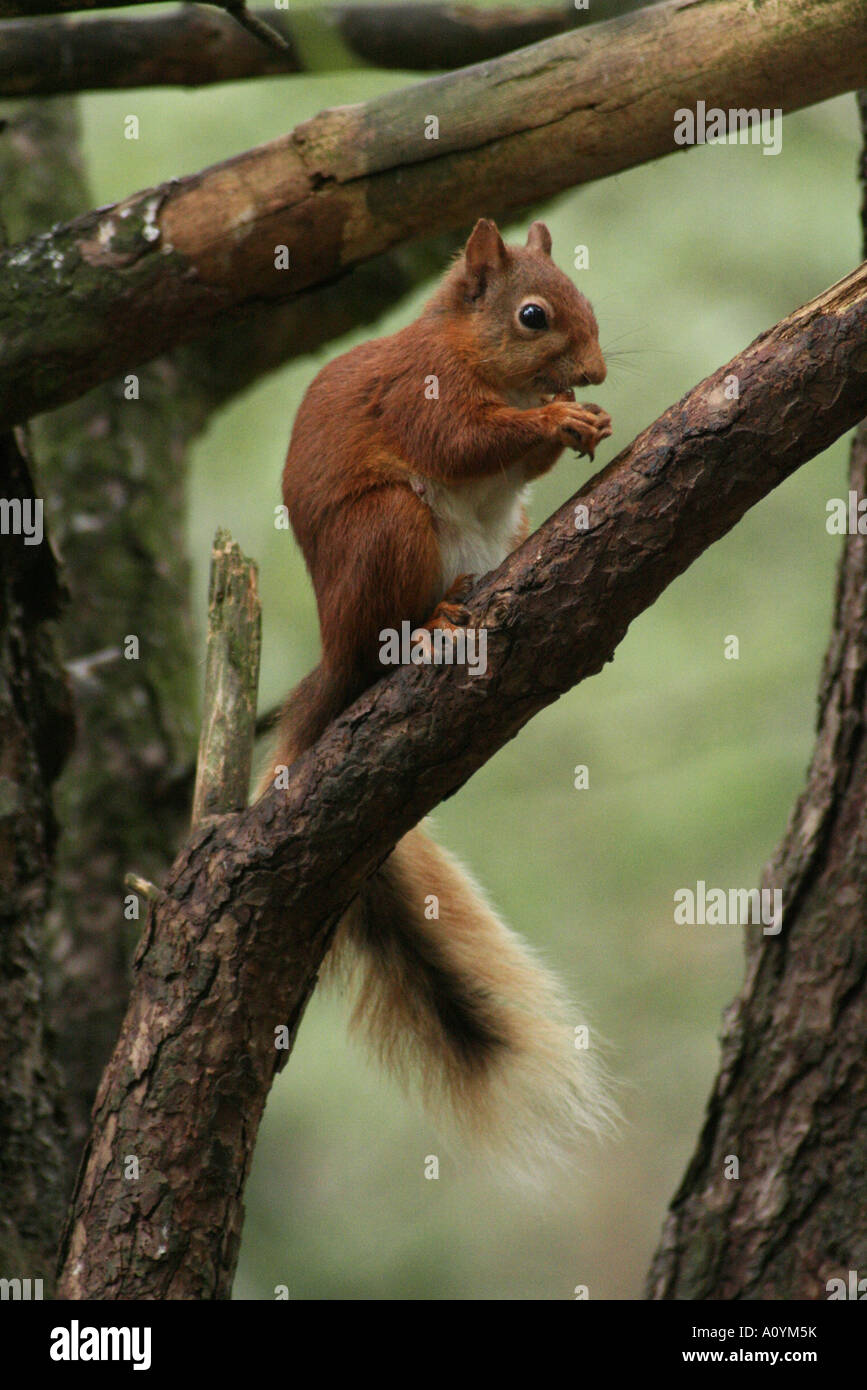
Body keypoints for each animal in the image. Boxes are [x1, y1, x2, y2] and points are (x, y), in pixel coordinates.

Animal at [260, 218, 615, 1181]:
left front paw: (583, 422)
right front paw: (558, 415)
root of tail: (336, 647)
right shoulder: (423, 400)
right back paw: (429, 622)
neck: (471, 355)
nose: (597, 374)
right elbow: (461, 443)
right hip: (386, 529)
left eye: (583, 297)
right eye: (532, 316)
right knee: (390, 626)